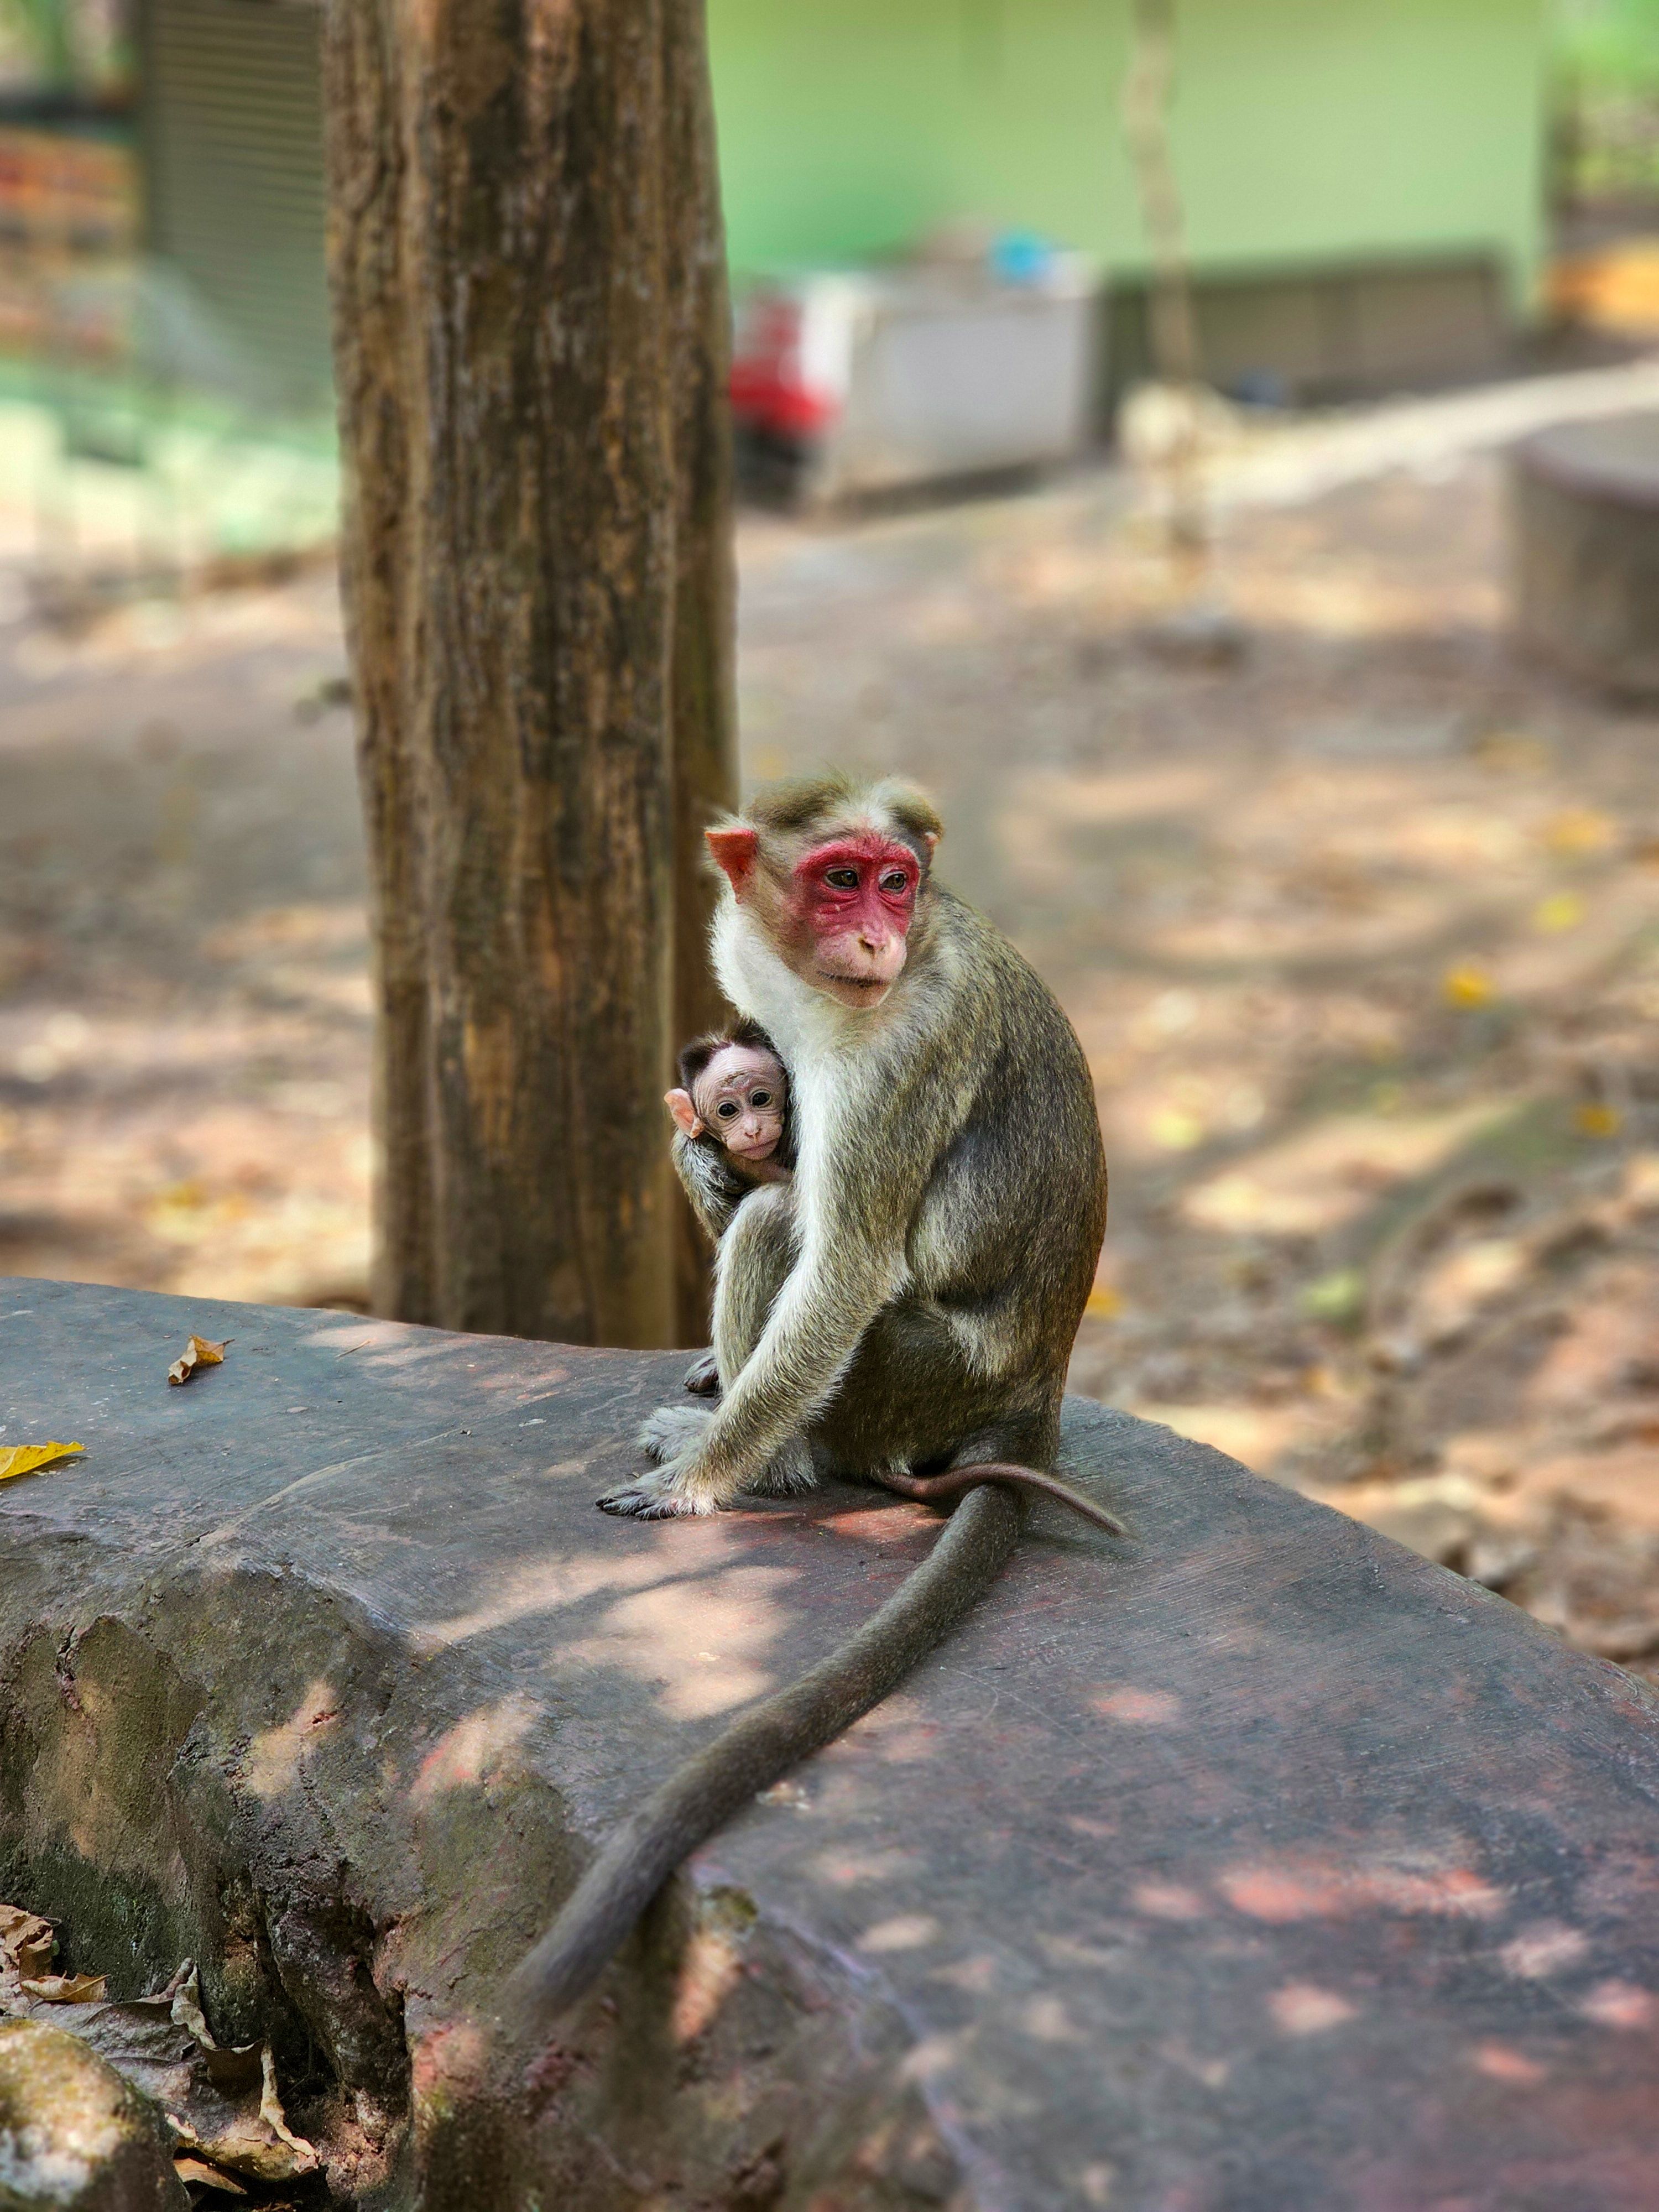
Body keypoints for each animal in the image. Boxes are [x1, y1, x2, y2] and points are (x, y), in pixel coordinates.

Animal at [503, 773, 1123, 2033]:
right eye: (841, 879)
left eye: (895, 879)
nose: (877, 935)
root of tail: (1037, 1388)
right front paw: (700, 1155)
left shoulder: (904, 1048)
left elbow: (840, 1260)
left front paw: (698, 1478)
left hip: (908, 1378)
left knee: (786, 1228)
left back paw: (763, 1458)